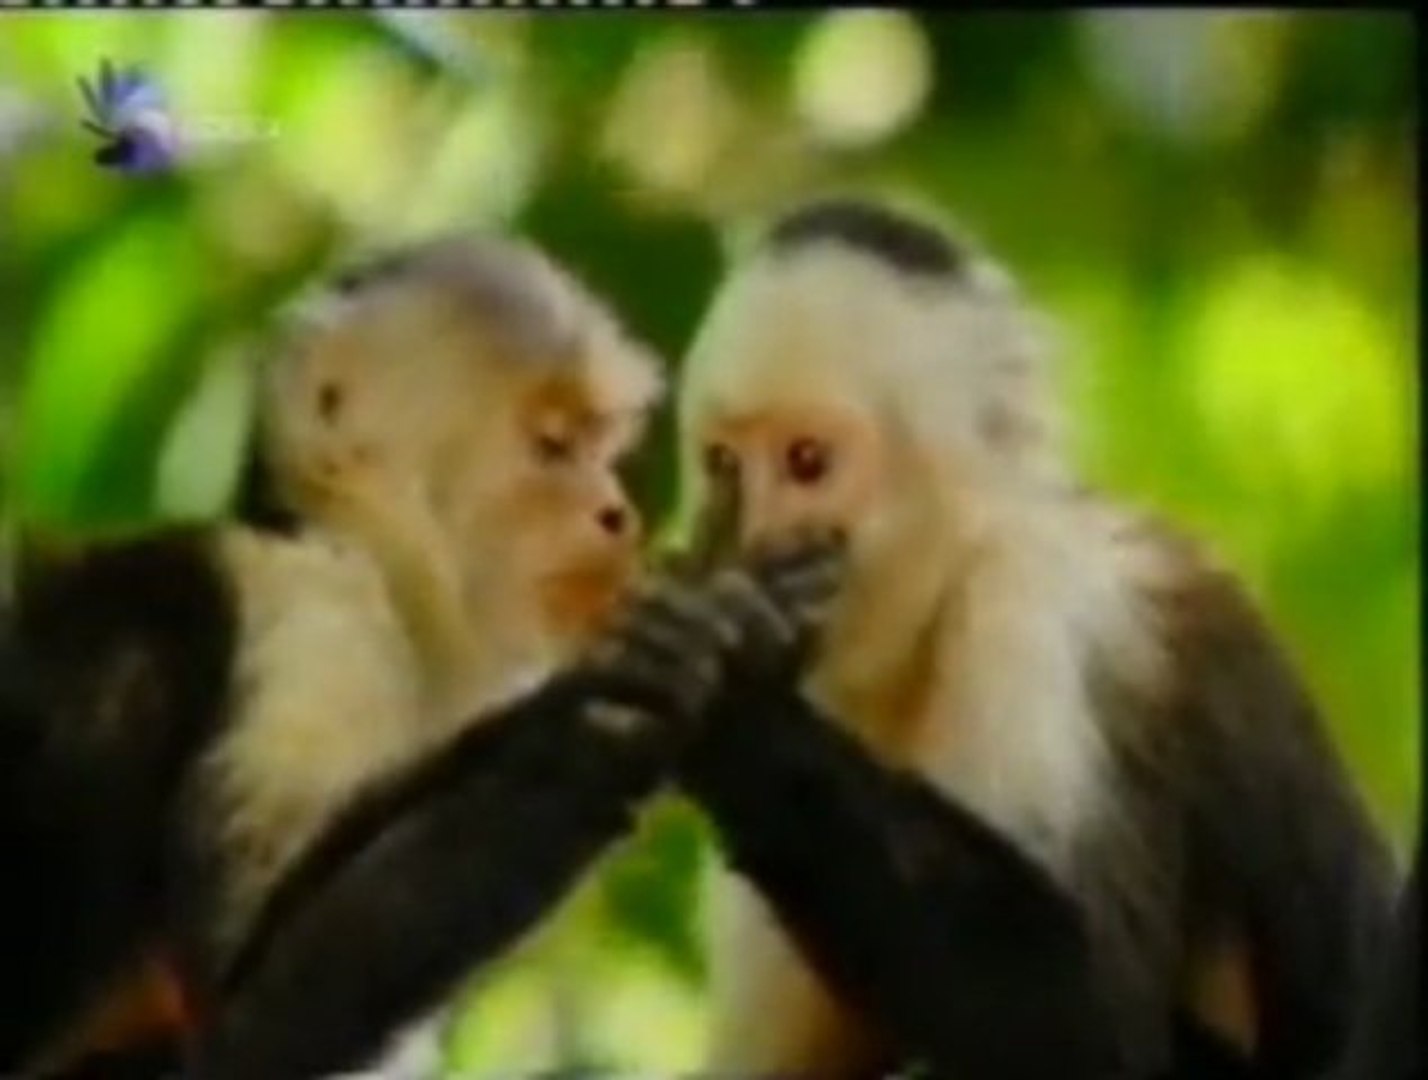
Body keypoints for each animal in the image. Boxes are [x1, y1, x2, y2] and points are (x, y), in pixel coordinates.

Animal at [0, 232, 846, 1079]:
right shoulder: (318, 627)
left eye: (600, 448)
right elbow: (243, 1023)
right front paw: (602, 723)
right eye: (551, 446)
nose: (617, 513)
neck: (371, 565)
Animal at [669, 198, 1404, 1079]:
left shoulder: (1033, 607)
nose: (754, 544)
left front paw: (726, 697)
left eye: (807, 462)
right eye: (723, 465)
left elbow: (1092, 1024)